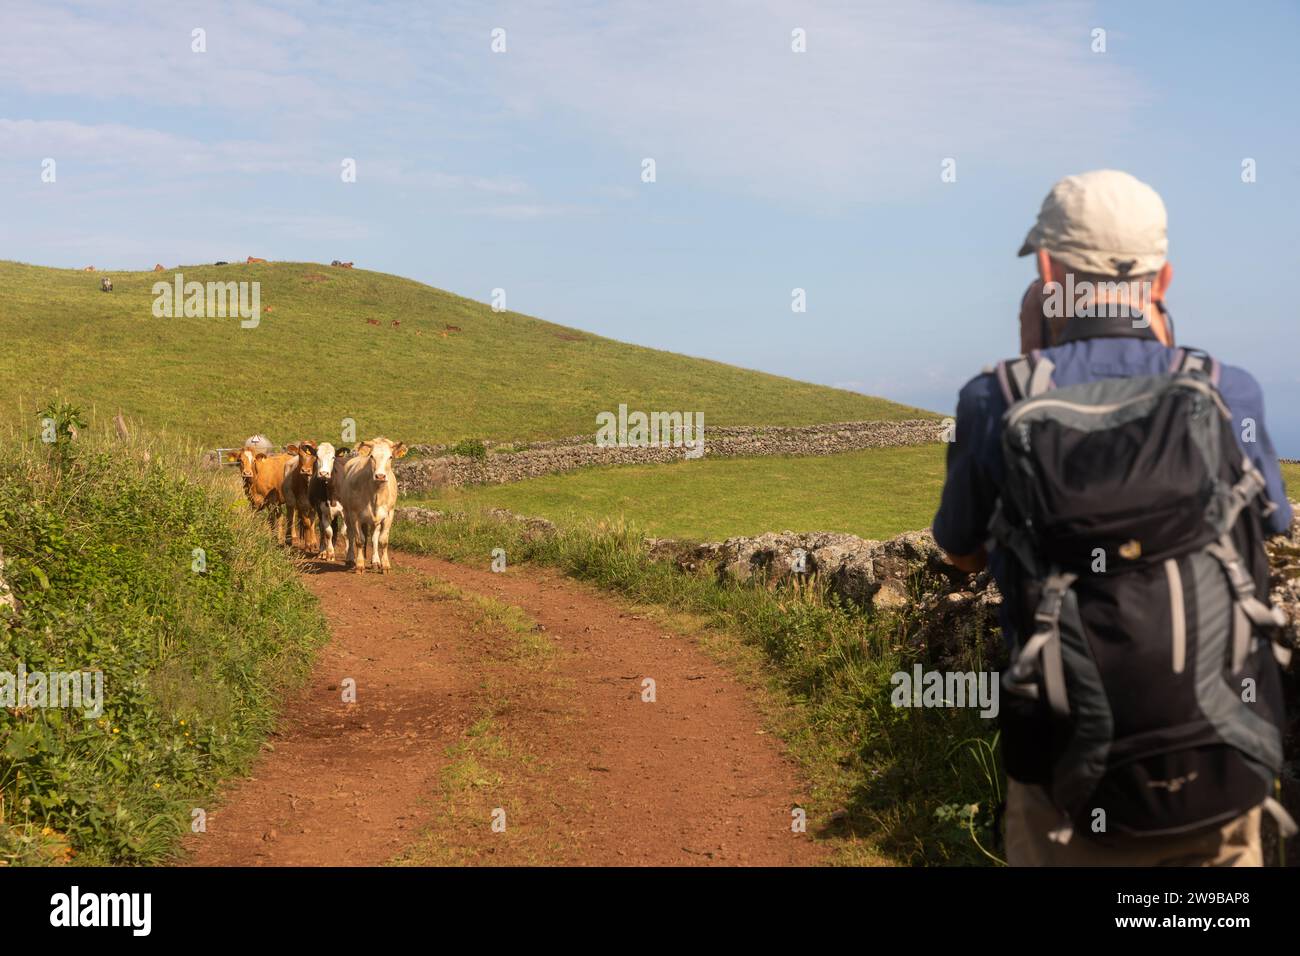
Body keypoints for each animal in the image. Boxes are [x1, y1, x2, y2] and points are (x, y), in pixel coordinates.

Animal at [336, 437, 407, 573]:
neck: (376, 494)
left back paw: (375, 561)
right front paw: (359, 565)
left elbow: (383, 541)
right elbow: (359, 540)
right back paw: (350, 559)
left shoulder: (389, 515)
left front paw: (385, 565)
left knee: (374, 538)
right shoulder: (355, 515)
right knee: (350, 534)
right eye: (372, 456)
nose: (380, 476)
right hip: (346, 513)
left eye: (390, 457)